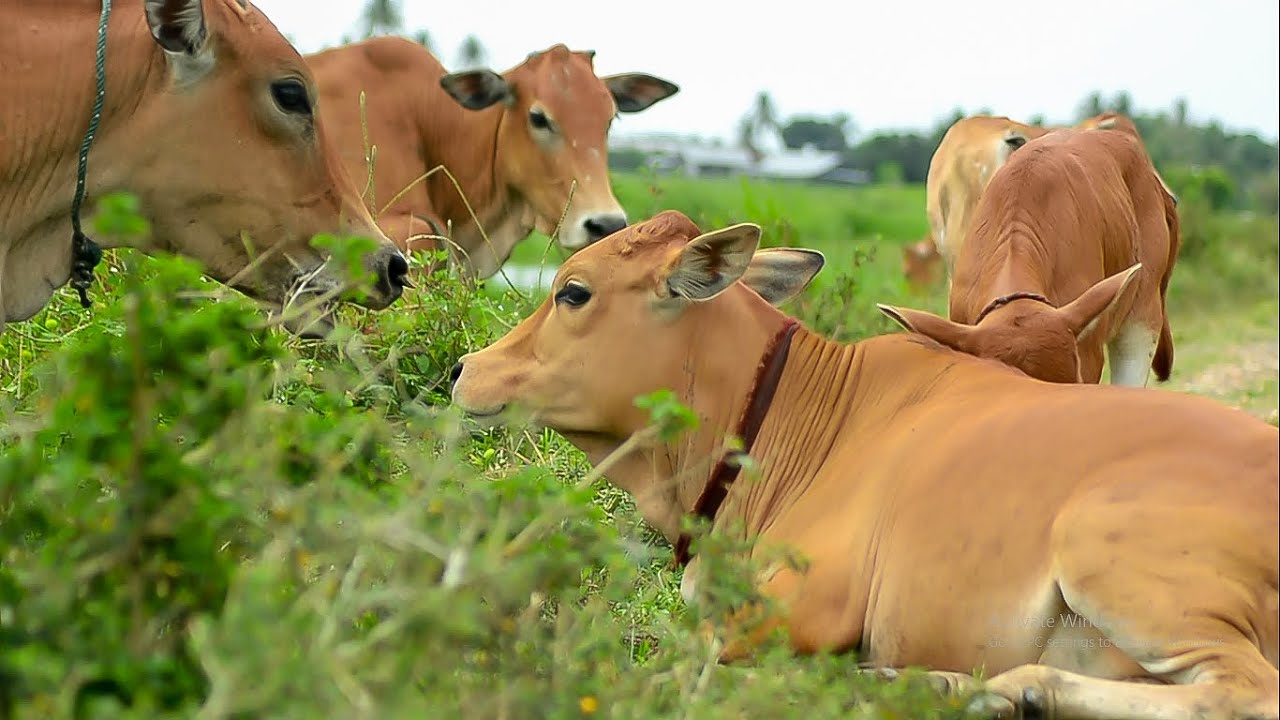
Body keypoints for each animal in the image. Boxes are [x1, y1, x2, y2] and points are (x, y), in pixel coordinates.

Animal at [449, 209, 1279, 720]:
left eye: (572, 292)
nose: (464, 369)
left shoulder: (798, 610)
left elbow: (677, 658)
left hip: (1110, 554)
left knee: (1245, 690)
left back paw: (1008, 691)